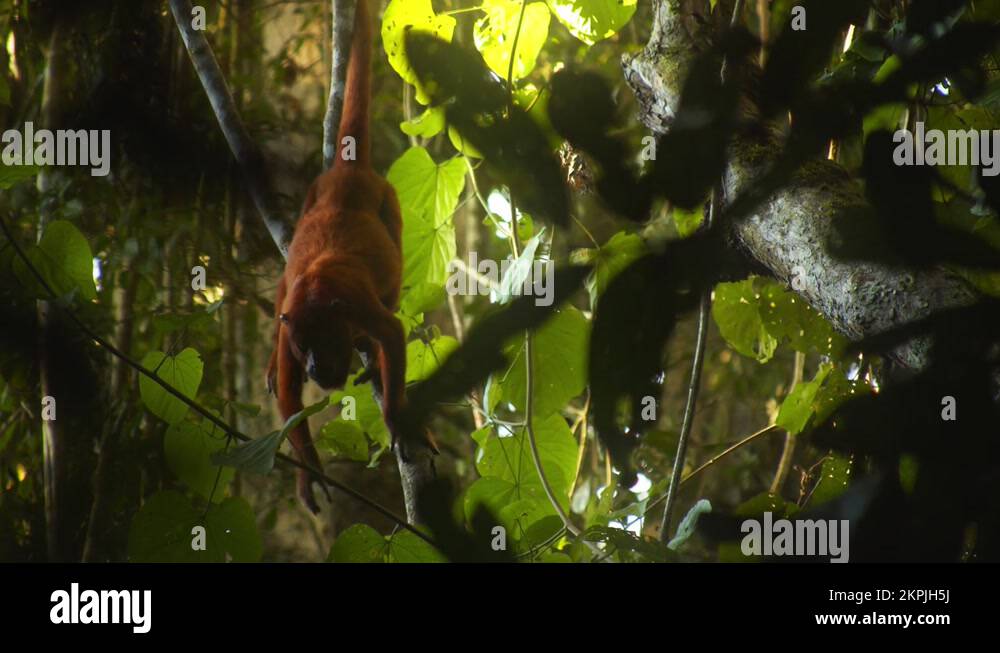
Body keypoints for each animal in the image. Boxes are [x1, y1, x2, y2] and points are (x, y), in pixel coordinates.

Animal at [266, 0, 434, 514]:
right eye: (303, 347)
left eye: (320, 344)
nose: (313, 367)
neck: (321, 300)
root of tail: (346, 171)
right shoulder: (291, 323)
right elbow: (288, 394)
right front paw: (308, 471)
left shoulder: (353, 304)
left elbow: (393, 332)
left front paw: (397, 419)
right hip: (311, 195)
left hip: (390, 199)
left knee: (394, 274)